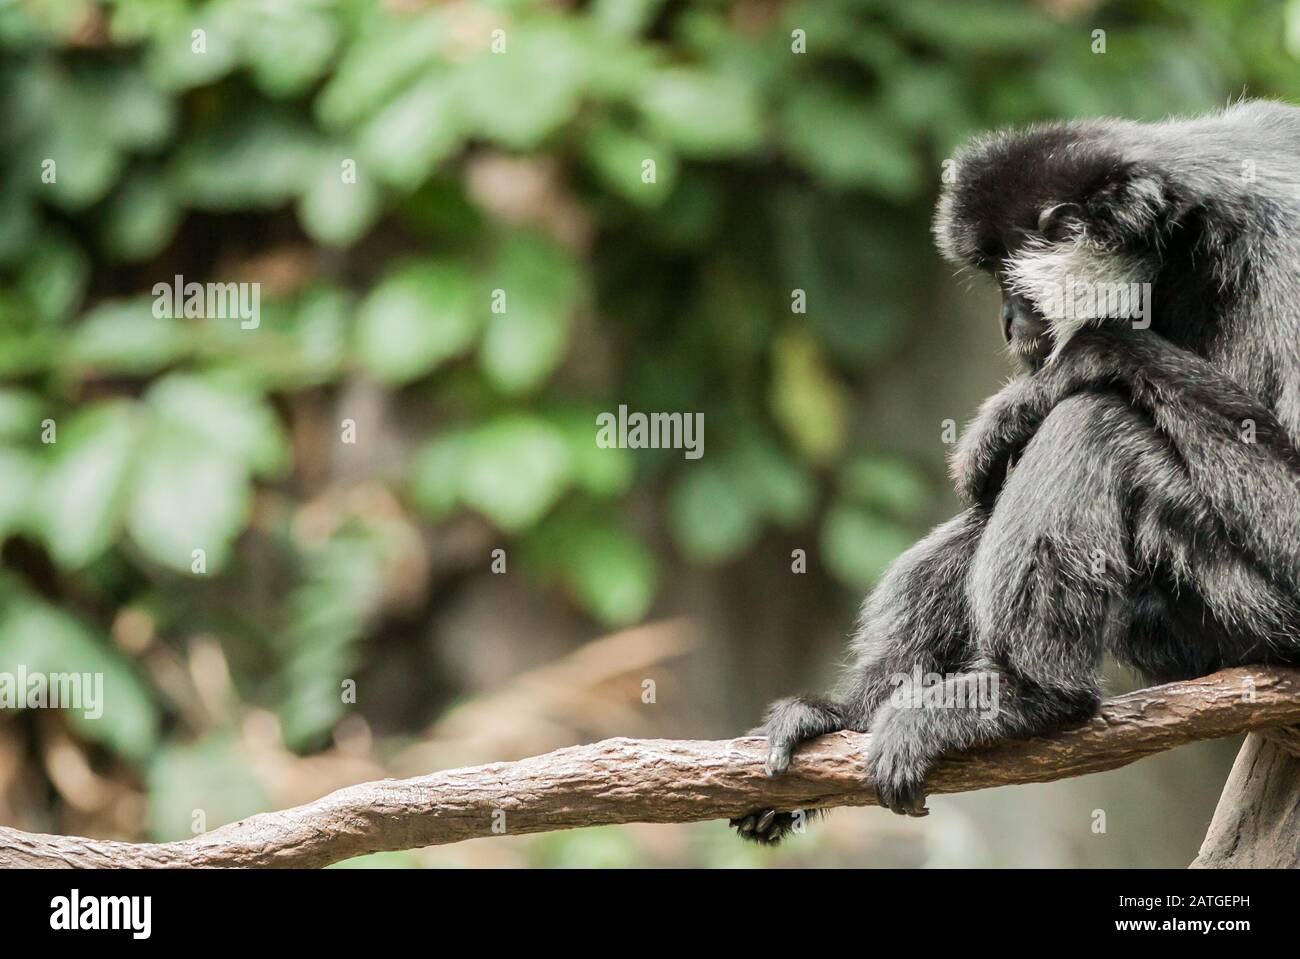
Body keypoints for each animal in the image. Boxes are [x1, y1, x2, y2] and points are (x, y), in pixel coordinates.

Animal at [733, 100, 1300, 844]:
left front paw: (1065, 368)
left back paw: (1031, 698)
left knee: (1094, 423)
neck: (1196, 229)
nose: (1007, 321)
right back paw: (852, 712)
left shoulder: (1285, 256)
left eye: (1011, 277)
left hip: (1253, 610)